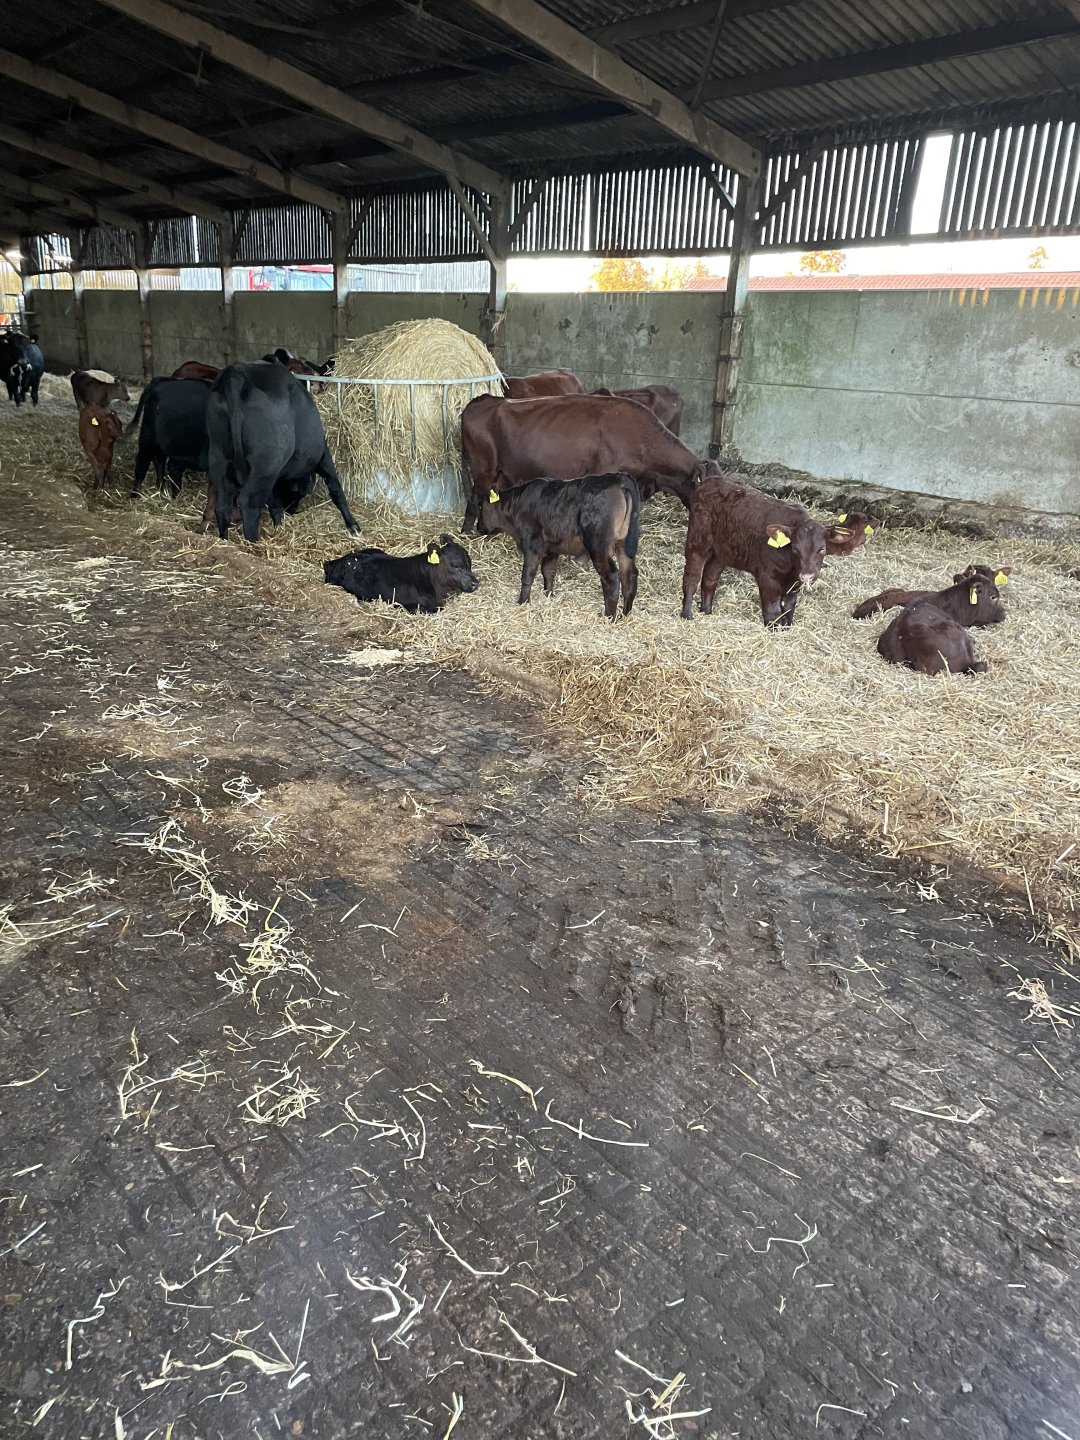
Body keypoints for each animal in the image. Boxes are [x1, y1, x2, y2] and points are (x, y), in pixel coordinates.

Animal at [207, 362, 360, 542]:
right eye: (297, 494)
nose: (291, 510)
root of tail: (236, 372)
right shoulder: (324, 457)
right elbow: (336, 490)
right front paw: (353, 525)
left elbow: (275, 504)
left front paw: (279, 527)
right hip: (265, 465)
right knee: (248, 502)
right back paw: (254, 542)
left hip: (218, 458)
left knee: (222, 505)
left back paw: (223, 539)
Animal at [479, 472, 640, 621]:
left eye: (480, 506)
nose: (479, 528)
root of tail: (619, 478)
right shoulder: (551, 549)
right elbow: (549, 572)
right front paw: (548, 595)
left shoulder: (532, 546)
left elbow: (527, 575)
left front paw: (522, 601)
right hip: (624, 545)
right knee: (629, 574)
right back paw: (625, 614)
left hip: (598, 546)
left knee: (611, 577)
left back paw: (608, 617)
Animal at [681, 474, 831, 626]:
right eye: (795, 548)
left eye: (823, 549)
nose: (807, 575)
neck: (789, 569)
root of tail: (712, 480)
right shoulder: (767, 577)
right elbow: (773, 611)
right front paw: (773, 628)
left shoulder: (795, 583)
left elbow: (789, 608)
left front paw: (786, 627)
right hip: (697, 542)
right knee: (692, 578)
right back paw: (686, 614)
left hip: (721, 552)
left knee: (710, 578)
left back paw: (706, 611)